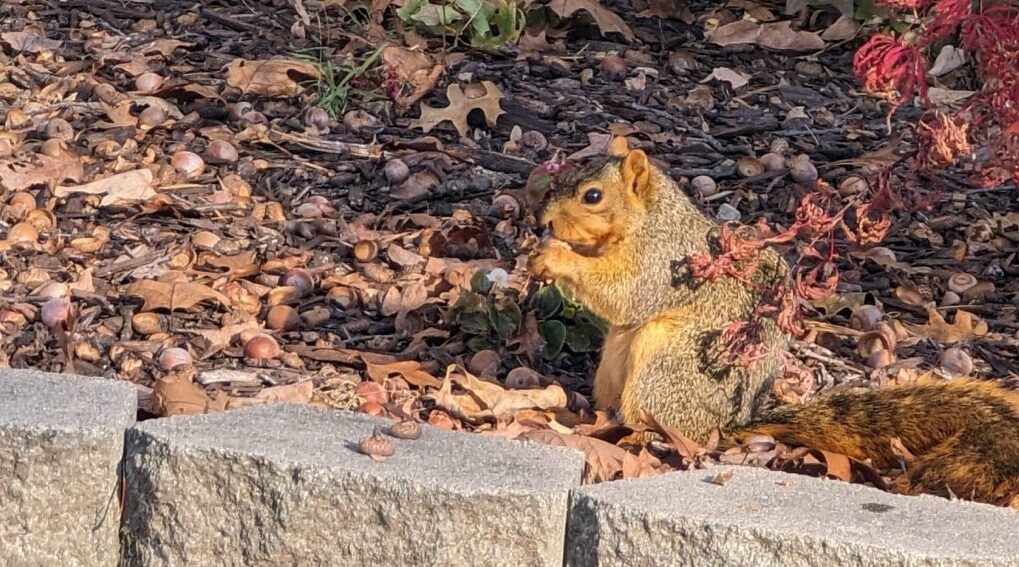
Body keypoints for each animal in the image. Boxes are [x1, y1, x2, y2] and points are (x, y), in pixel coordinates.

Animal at [529, 137, 1019, 507]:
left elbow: (626, 293)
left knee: (669, 422)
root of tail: (733, 424)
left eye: (593, 195)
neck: (651, 220)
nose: (543, 222)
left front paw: (556, 257)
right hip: (612, 365)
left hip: (665, 366)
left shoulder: (664, 262)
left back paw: (636, 437)